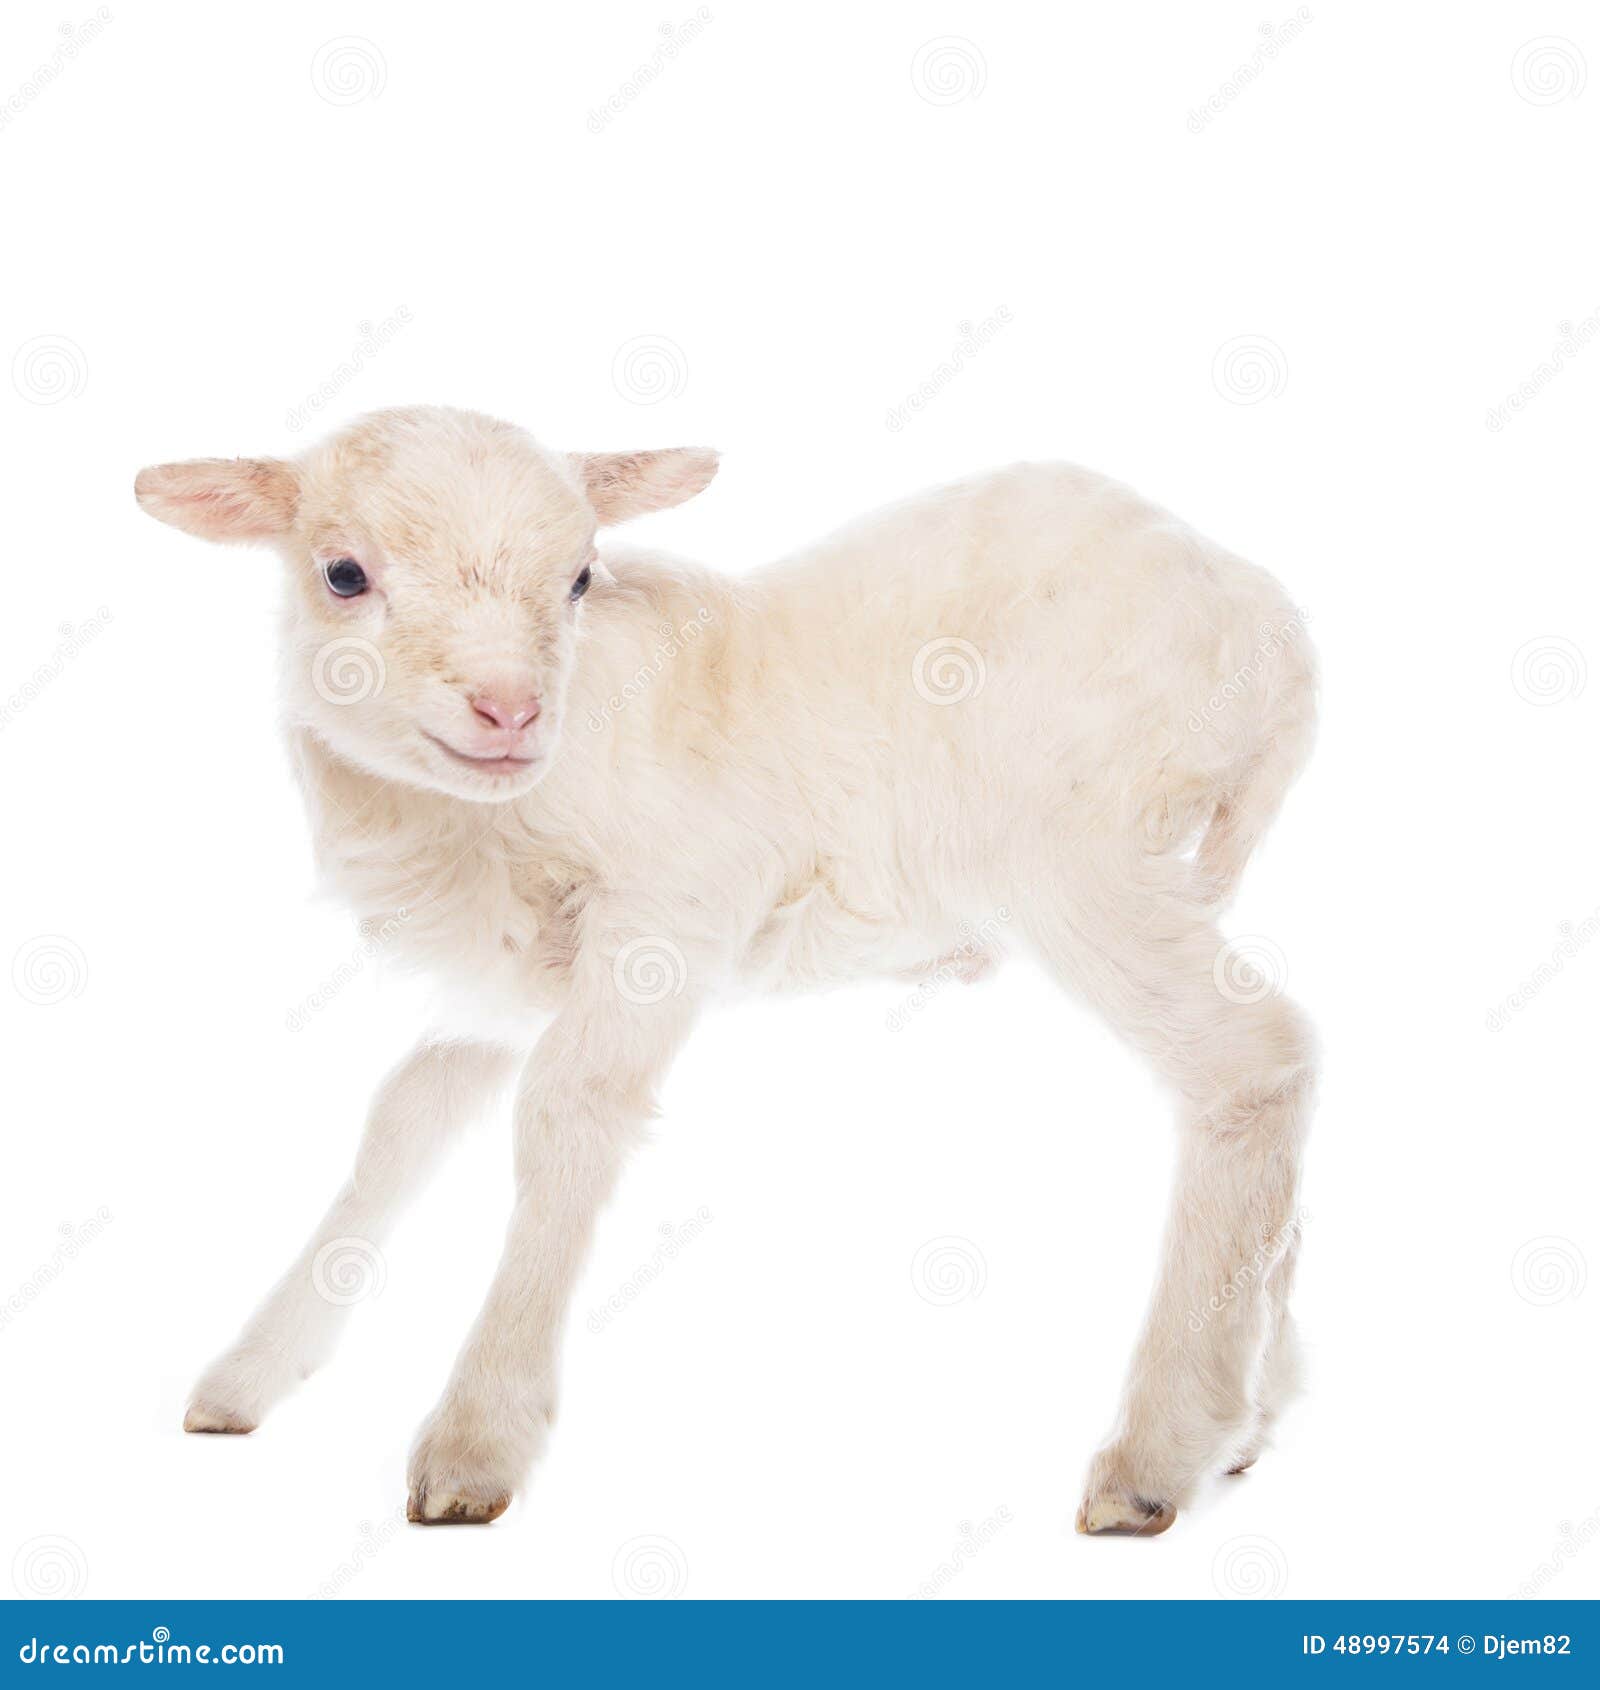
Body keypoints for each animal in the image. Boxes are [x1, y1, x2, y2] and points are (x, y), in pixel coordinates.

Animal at [135, 405, 1316, 1535]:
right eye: (343, 573)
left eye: (580, 575)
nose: (512, 711)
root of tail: (1271, 624)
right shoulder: (513, 977)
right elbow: (403, 1120)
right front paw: (249, 1374)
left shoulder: (672, 908)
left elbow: (568, 1111)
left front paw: (475, 1442)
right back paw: (1251, 1417)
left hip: (1074, 854)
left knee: (1254, 1060)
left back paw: (1156, 1456)